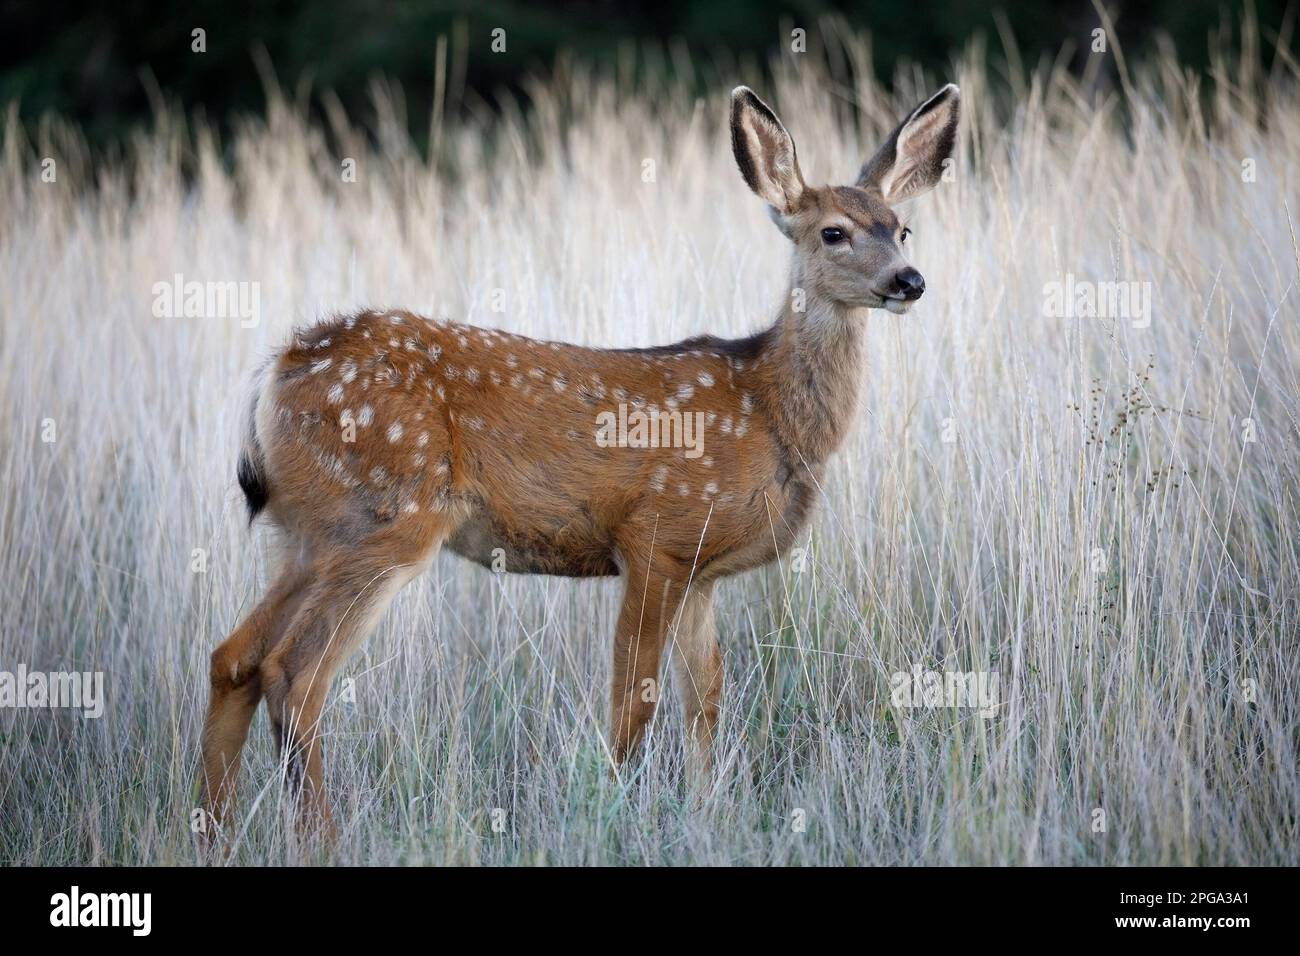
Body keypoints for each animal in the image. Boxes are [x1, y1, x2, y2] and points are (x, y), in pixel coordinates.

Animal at [201, 82, 960, 834]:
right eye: (833, 231)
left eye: (902, 227)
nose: (911, 280)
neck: (768, 412)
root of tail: (276, 371)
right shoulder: (655, 537)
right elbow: (636, 701)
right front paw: (611, 811)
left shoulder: (701, 570)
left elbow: (705, 698)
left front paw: (706, 813)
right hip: (387, 514)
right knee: (295, 672)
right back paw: (318, 835)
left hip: (308, 531)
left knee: (234, 657)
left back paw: (217, 829)